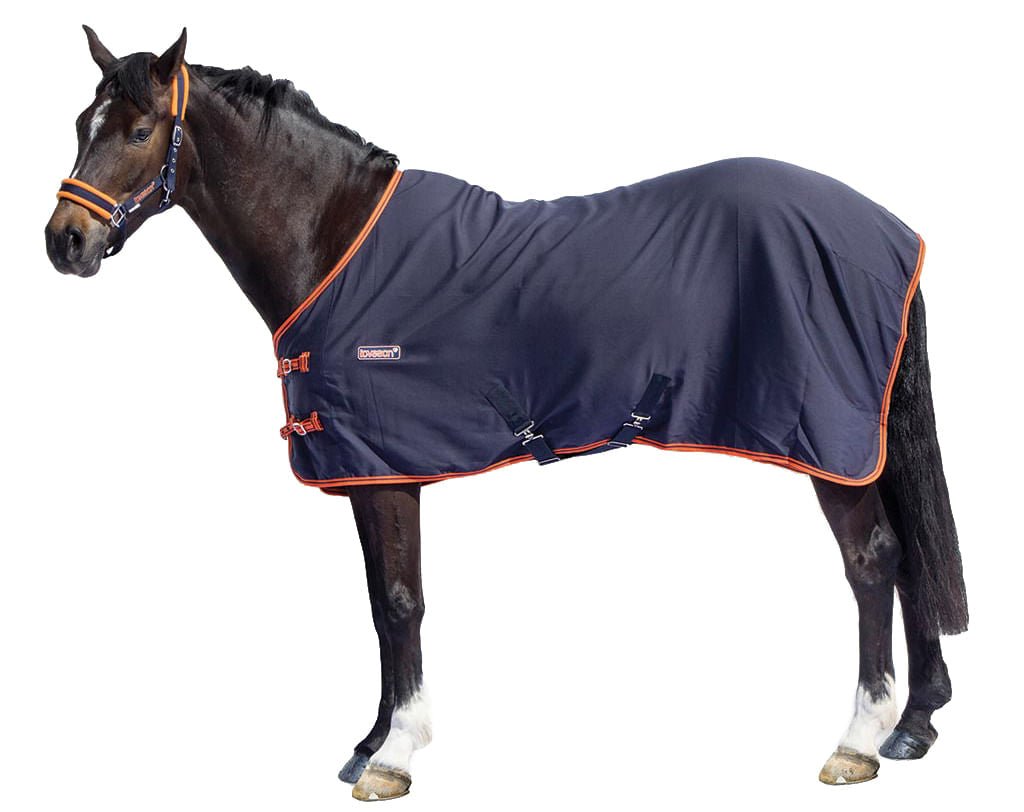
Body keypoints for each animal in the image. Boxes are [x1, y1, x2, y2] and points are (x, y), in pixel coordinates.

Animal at [43, 27, 968, 801]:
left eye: (138, 131)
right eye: (83, 122)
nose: (64, 243)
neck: (337, 243)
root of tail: (888, 232)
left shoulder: (390, 473)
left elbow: (401, 604)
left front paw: (394, 754)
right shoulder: (367, 471)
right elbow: (376, 605)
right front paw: (368, 740)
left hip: (828, 444)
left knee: (874, 562)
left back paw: (858, 740)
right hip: (864, 442)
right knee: (911, 557)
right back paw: (915, 725)